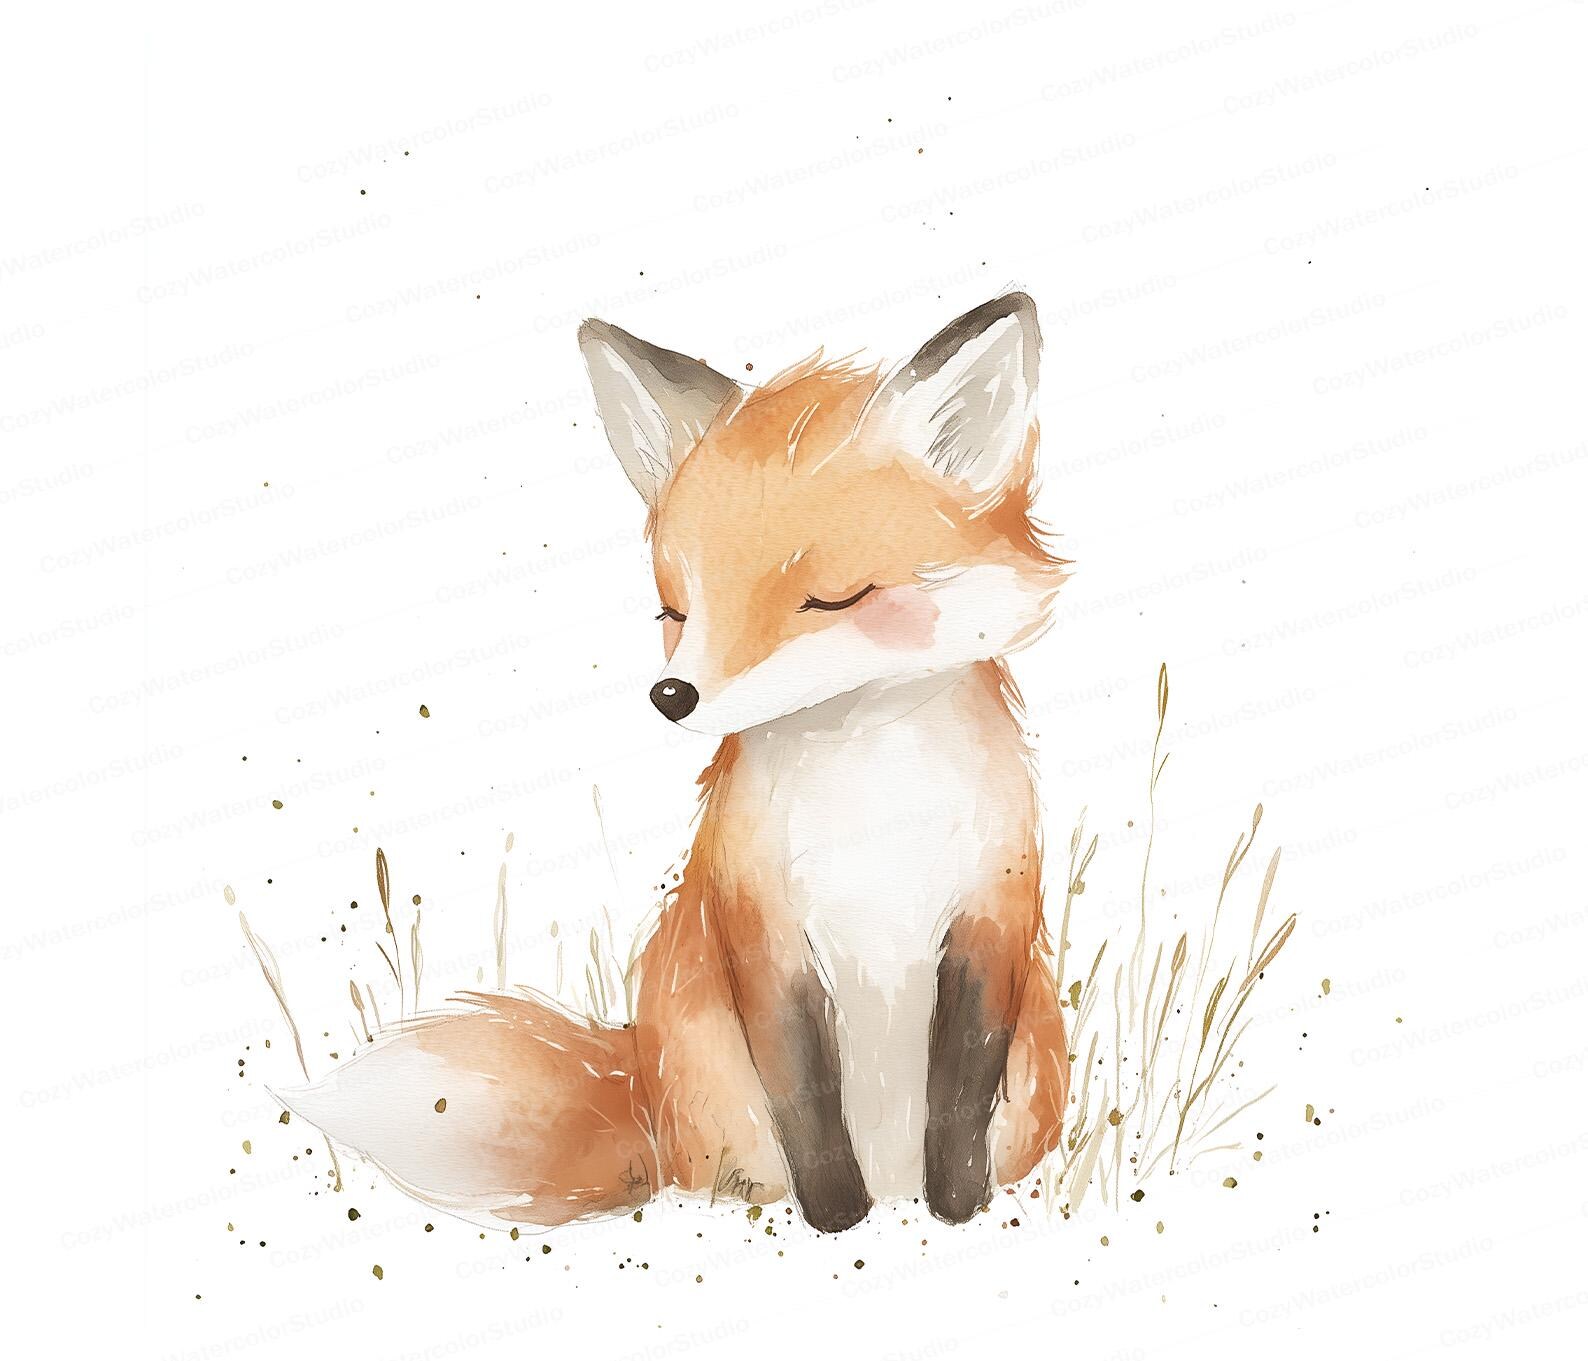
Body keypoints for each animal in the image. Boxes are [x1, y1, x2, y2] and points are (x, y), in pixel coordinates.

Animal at [280, 292, 1071, 1232]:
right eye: (676, 609)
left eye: (829, 598)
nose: (672, 694)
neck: (874, 806)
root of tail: (644, 1102)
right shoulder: (760, 929)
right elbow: (805, 1092)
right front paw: (836, 1217)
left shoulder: (992, 914)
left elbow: (960, 1089)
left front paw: (957, 1208)